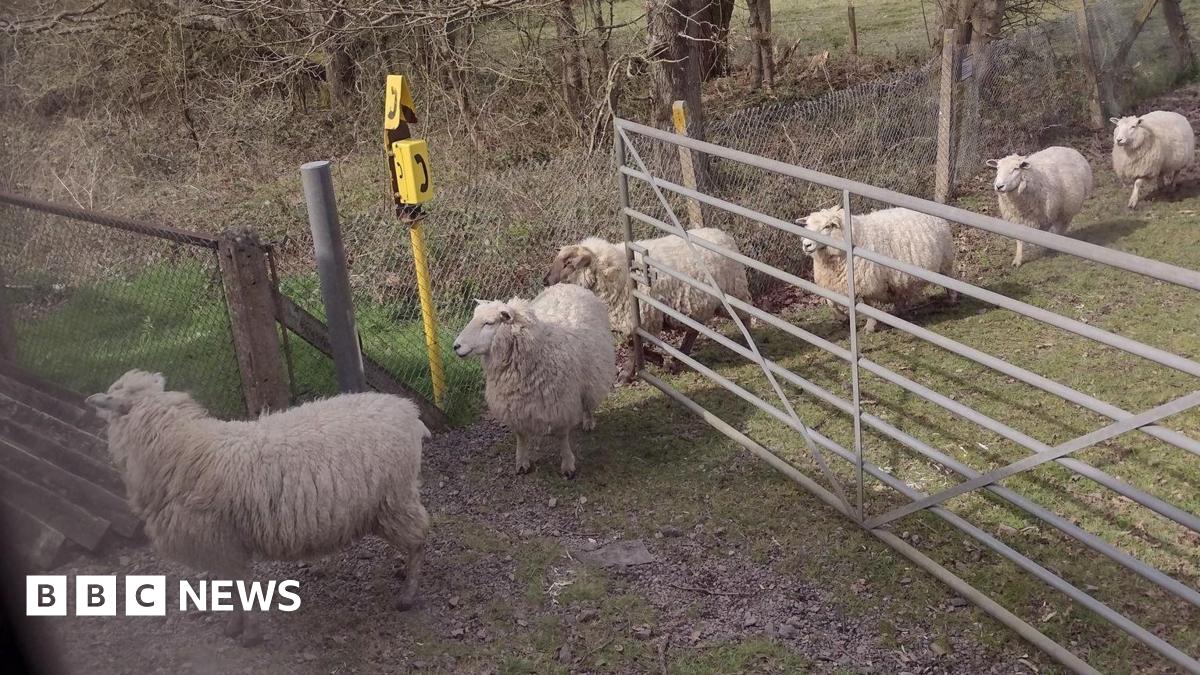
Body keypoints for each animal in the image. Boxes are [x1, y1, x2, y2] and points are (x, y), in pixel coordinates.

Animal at [86, 371, 430, 645]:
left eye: (112, 397)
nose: (92, 402)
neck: (182, 448)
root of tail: (407, 410)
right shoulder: (224, 545)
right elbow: (230, 588)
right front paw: (235, 627)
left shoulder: (222, 542)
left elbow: (239, 587)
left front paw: (248, 632)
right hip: (392, 502)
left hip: (393, 500)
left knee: (419, 541)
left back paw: (408, 593)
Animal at [452, 283, 615, 479]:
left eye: (489, 323)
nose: (456, 346)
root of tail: (569, 284)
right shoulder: (515, 405)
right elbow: (521, 436)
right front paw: (522, 461)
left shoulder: (559, 403)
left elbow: (562, 437)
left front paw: (568, 464)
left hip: (592, 375)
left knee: (588, 401)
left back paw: (588, 421)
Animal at [544, 227, 752, 381]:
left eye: (568, 263)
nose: (545, 281)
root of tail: (723, 235)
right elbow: (633, 344)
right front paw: (658, 360)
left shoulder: (639, 316)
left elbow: (632, 345)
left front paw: (626, 374)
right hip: (699, 304)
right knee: (694, 330)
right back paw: (677, 360)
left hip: (734, 293)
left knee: (746, 316)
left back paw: (748, 346)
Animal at [799, 206, 957, 333]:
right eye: (807, 226)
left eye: (827, 226)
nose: (806, 245)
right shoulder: (835, 282)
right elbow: (830, 301)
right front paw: (842, 317)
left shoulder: (866, 280)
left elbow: (868, 305)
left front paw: (869, 326)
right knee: (899, 293)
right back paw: (899, 312)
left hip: (945, 260)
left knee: (950, 279)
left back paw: (952, 299)